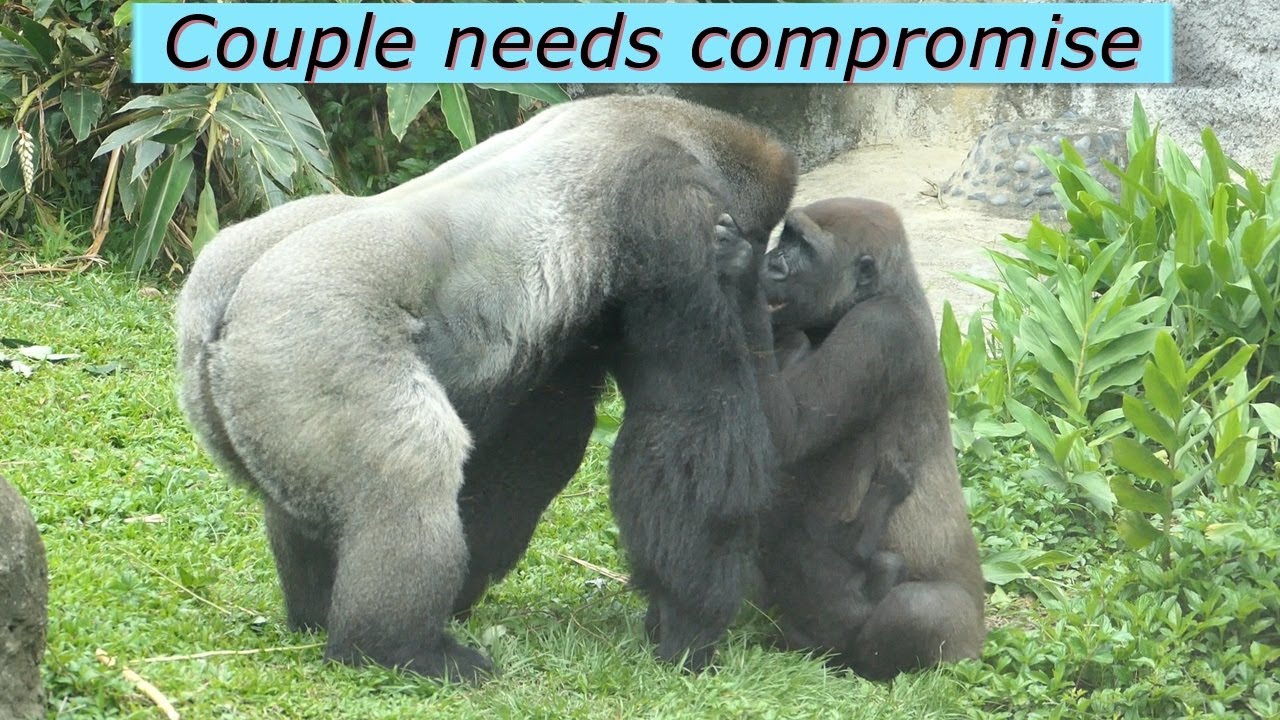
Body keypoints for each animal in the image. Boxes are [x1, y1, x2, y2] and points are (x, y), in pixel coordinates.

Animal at [175, 94, 798, 681]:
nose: (763, 266)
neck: (678, 126)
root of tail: (219, 303)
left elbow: (536, 443)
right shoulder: (675, 211)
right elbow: (690, 416)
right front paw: (687, 624)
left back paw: (315, 612)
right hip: (314, 328)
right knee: (413, 467)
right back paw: (394, 649)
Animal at [715, 198, 986, 679]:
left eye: (803, 248)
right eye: (785, 238)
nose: (772, 263)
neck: (884, 291)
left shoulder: (880, 328)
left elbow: (789, 434)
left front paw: (738, 271)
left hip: (959, 643)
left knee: (918, 609)